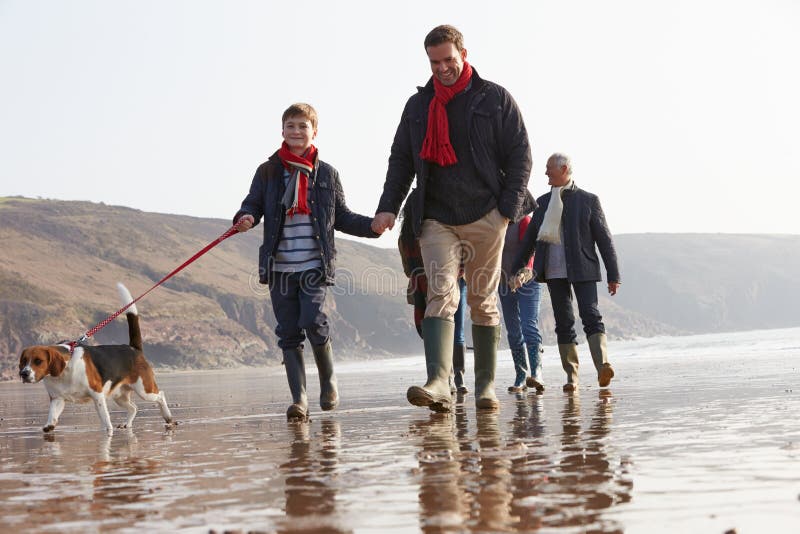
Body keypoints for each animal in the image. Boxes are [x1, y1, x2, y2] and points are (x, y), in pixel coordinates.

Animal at [18, 284, 175, 436]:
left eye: (38, 361)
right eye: (24, 361)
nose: (23, 374)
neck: (64, 371)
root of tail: (133, 348)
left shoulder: (98, 396)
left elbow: (106, 420)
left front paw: (108, 432)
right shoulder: (57, 399)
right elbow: (52, 416)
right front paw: (48, 427)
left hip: (144, 390)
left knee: (161, 396)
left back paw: (168, 417)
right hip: (119, 395)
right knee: (133, 408)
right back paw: (127, 424)